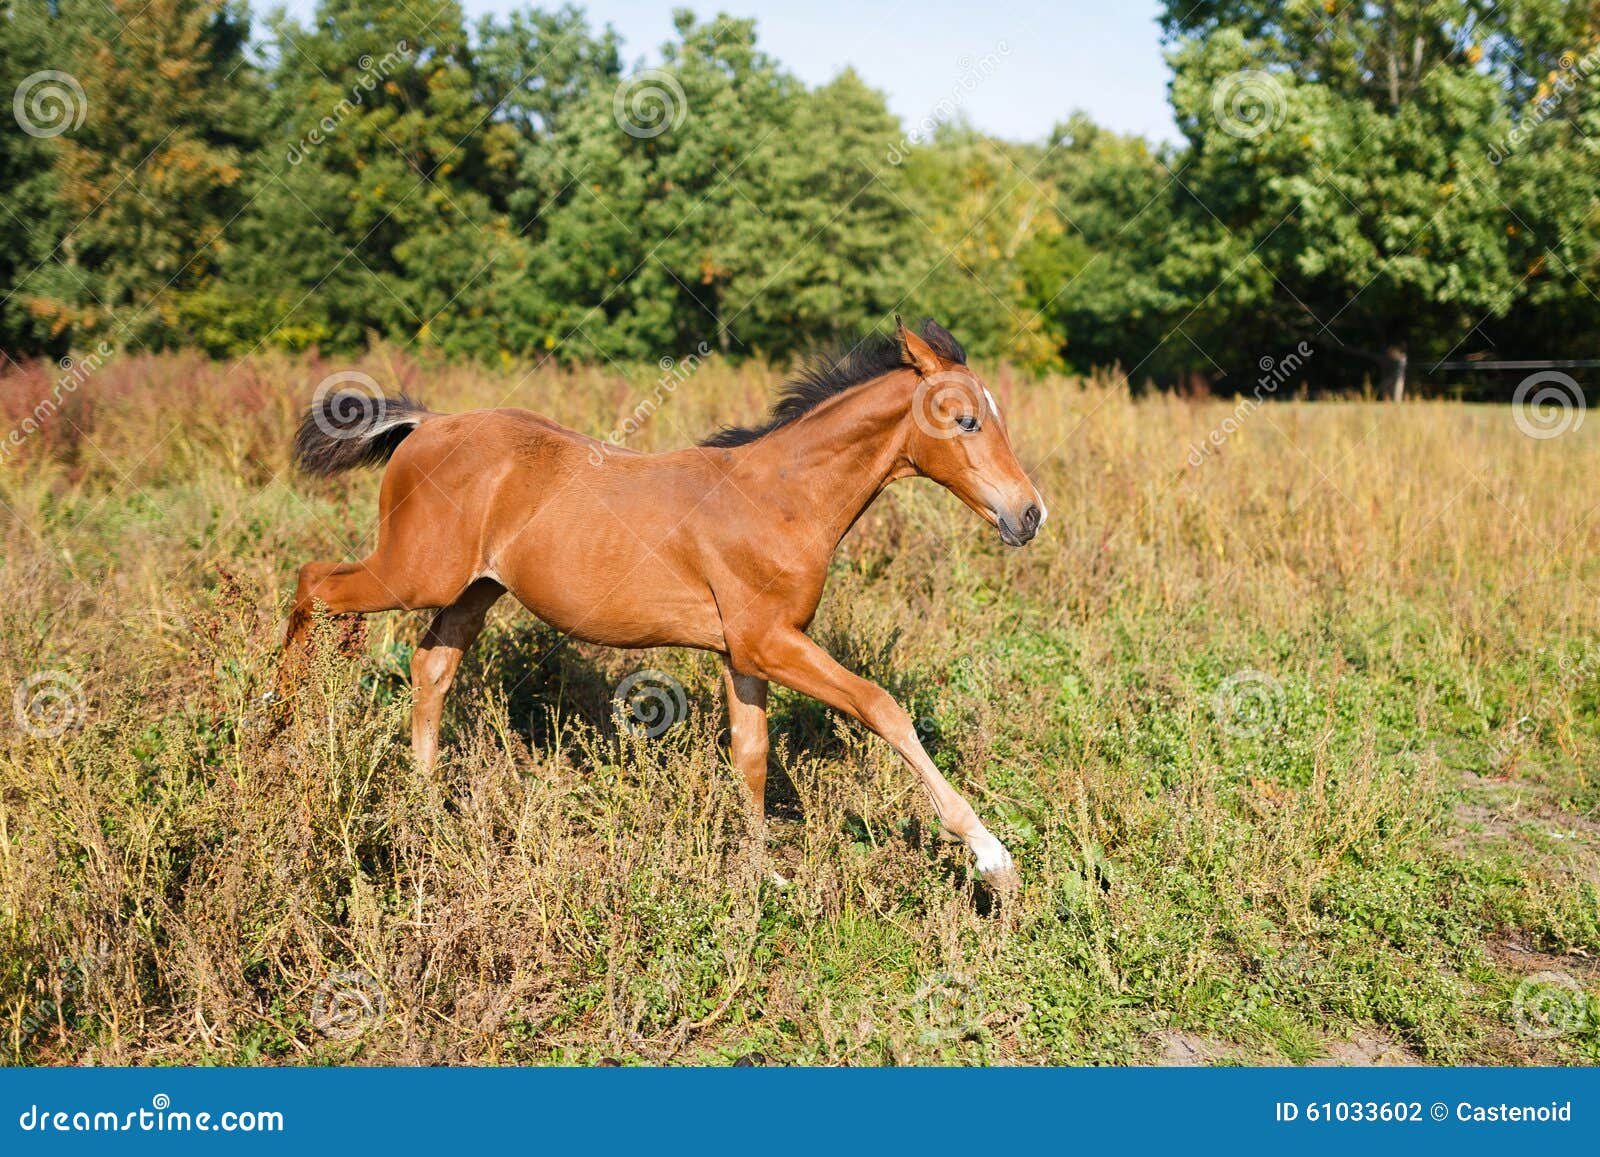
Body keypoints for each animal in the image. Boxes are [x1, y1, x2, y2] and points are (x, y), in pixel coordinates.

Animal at [281, 317, 1046, 884]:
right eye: (965, 420)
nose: (1029, 514)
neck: (781, 497)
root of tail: (428, 424)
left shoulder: (745, 652)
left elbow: (751, 753)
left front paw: (763, 877)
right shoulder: (770, 641)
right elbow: (881, 707)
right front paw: (991, 855)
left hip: (475, 590)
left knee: (430, 666)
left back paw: (426, 805)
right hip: (415, 572)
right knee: (313, 583)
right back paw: (282, 726)